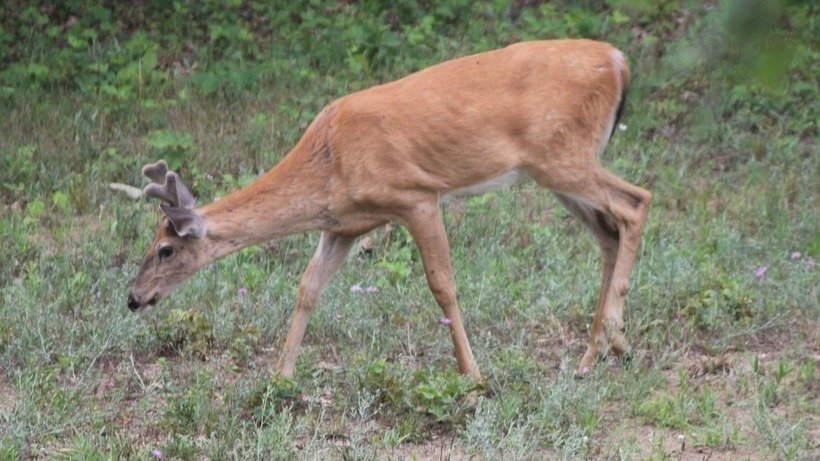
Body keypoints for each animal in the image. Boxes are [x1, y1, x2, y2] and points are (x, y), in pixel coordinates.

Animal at [127, 39, 651, 380]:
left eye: (165, 249)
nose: (133, 298)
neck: (329, 162)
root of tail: (620, 61)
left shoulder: (415, 195)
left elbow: (442, 286)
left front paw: (473, 376)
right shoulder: (344, 224)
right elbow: (307, 288)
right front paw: (281, 375)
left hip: (562, 156)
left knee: (636, 203)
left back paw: (604, 342)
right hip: (555, 169)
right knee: (608, 233)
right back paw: (602, 348)